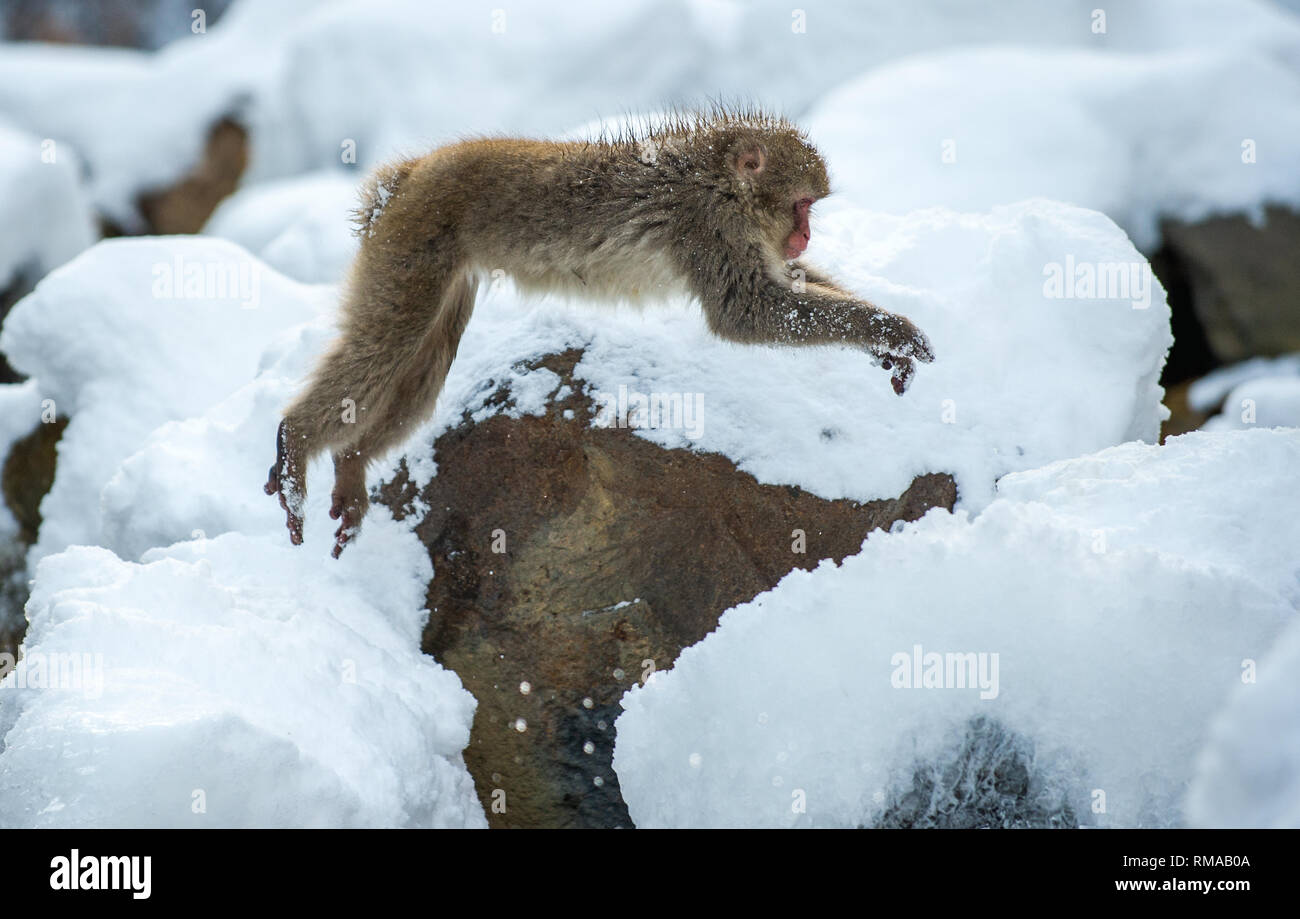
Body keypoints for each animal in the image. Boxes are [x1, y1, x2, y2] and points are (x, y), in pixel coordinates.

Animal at [266, 106, 934, 557]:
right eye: (802, 205)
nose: (805, 235)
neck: (719, 177)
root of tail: (410, 174)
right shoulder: (709, 224)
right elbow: (747, 312)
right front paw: (891, 330)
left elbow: (783, 285)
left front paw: (882, 343)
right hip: (412, 244)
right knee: (386, 342)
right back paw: (296, 443)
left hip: (440, 265)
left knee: (425, 362)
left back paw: (351, 463)